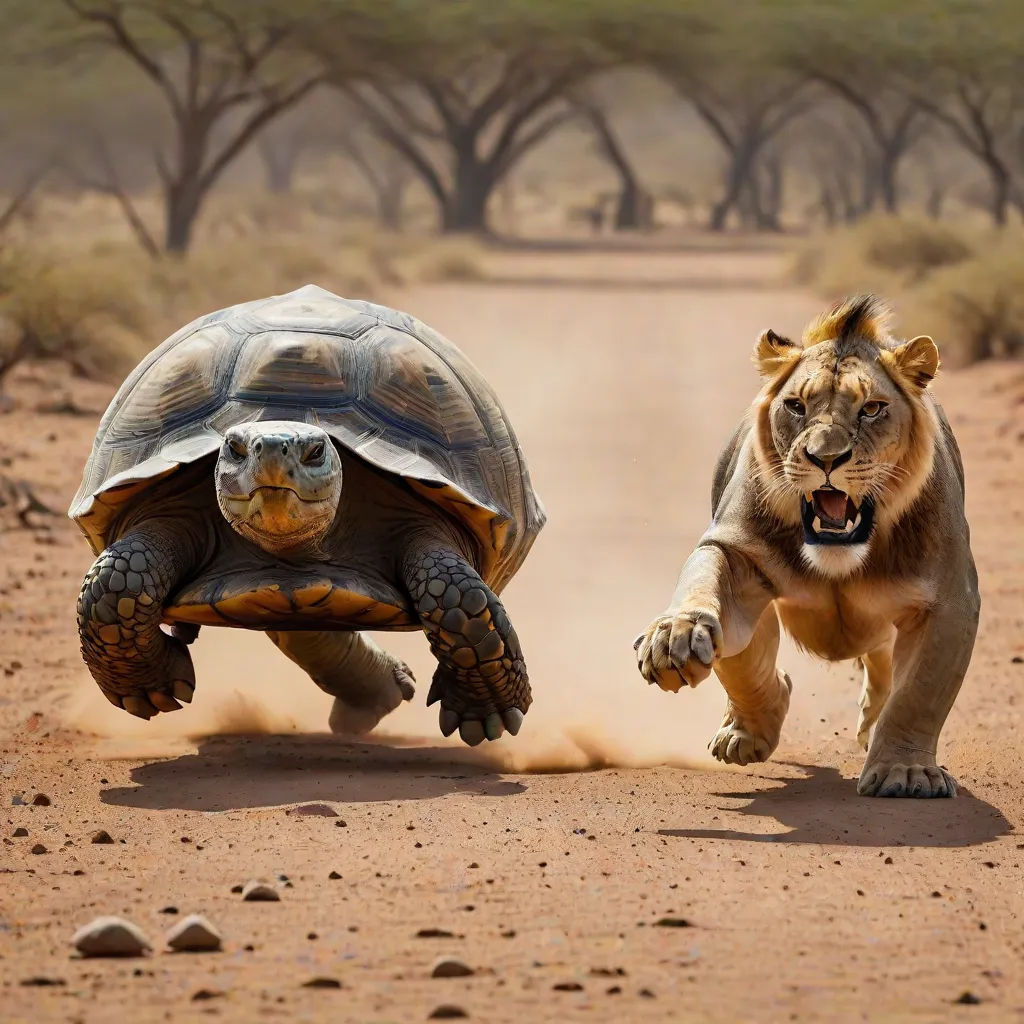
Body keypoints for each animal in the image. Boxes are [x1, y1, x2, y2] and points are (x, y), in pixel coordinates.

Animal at [634, 295, 979, 798]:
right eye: (796, 406)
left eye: (872, 409)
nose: (826, 458)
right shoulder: (735, 551)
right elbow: (716, 613)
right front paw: (675, 637)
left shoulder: (951, 598)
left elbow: (919, 694)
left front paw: (906, 772)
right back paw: (741, 731)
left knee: (882, 660)